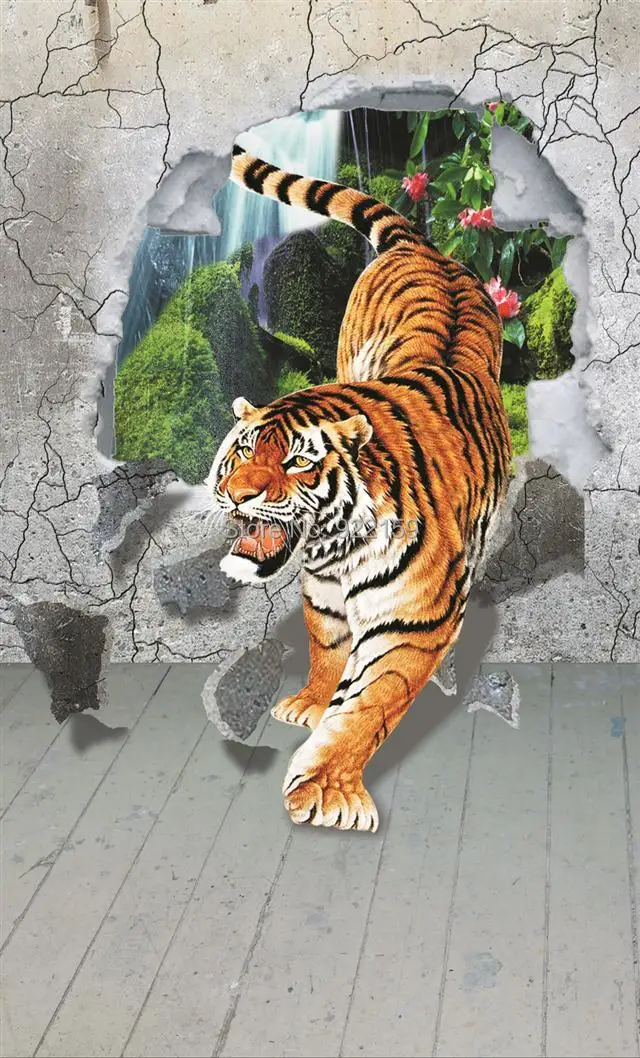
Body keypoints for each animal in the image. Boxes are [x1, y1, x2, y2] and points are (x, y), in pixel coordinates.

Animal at [206, 143, 512, 832]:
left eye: (297, 463)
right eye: (244, 451)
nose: (239, 495)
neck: (334, 547)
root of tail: (426, 248)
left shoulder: (413, 619)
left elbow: (370, 701)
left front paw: (326, 788)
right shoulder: (321, 592)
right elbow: (326, 647)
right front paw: (310, 704)